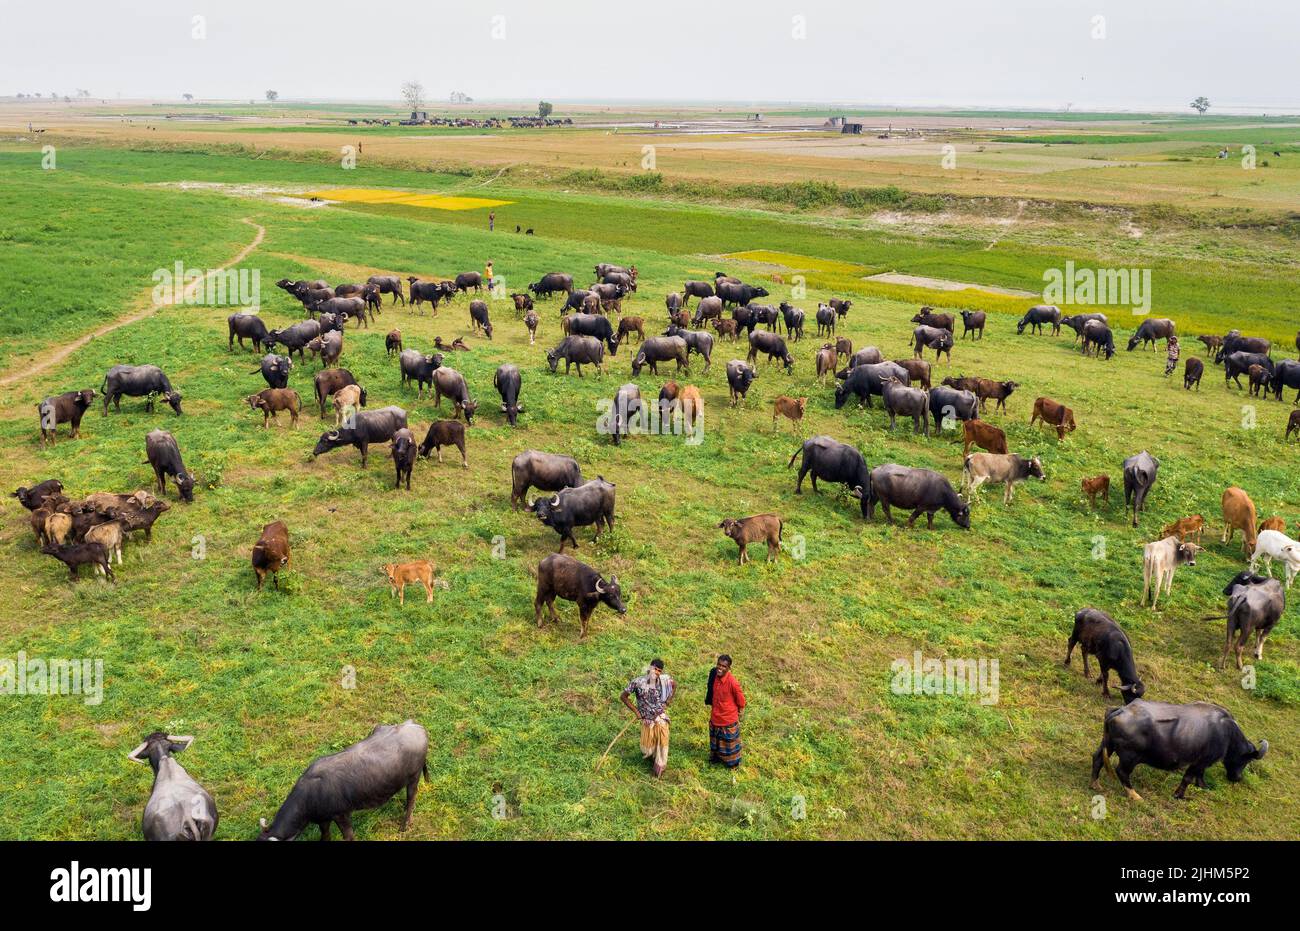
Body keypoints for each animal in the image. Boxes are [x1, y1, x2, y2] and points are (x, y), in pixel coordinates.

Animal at [258, 721, 429, 840]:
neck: (311, 794)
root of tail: (417, 727)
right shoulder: (323, 819)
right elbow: (325, 836)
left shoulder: (342, 815)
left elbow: (348, 836)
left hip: (414, 777)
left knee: (411, 798)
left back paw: (404, 825)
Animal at [1090, 699, 1268, 800]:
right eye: (1246, 759)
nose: (1237, 778)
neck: (1227, 732)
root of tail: (1120, 710)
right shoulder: (1200, 761)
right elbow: (1188, 778)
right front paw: (1179, 795)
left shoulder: (1203, 763)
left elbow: (1200, 776)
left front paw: (1203, 786)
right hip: (1130, 757)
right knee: (1122, 772)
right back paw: (1135, 795)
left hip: (1107, 744)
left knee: (1097, 758)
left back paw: (1095, 784)